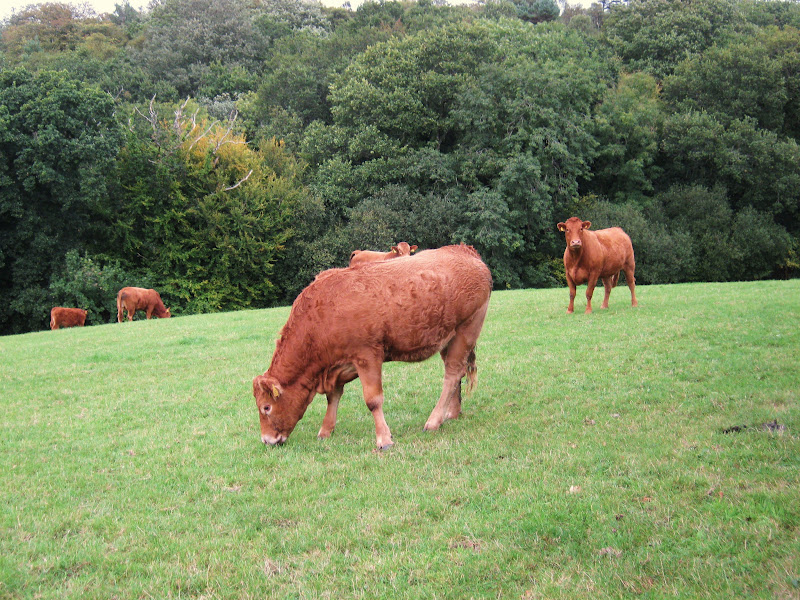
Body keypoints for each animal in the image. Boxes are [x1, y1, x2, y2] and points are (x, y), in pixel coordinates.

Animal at [253, 244, 492, 450]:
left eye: (266, 407)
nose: (267, 440)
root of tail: (463, 250)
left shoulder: (367, 356)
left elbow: (373, 400)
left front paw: (384, 439)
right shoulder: (338, 364)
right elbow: (333, 396)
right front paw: (325, 430)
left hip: (467, 329)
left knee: (452, 374)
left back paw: (433, 420)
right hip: (448, 337)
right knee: (457, 374)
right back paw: (451, 413)